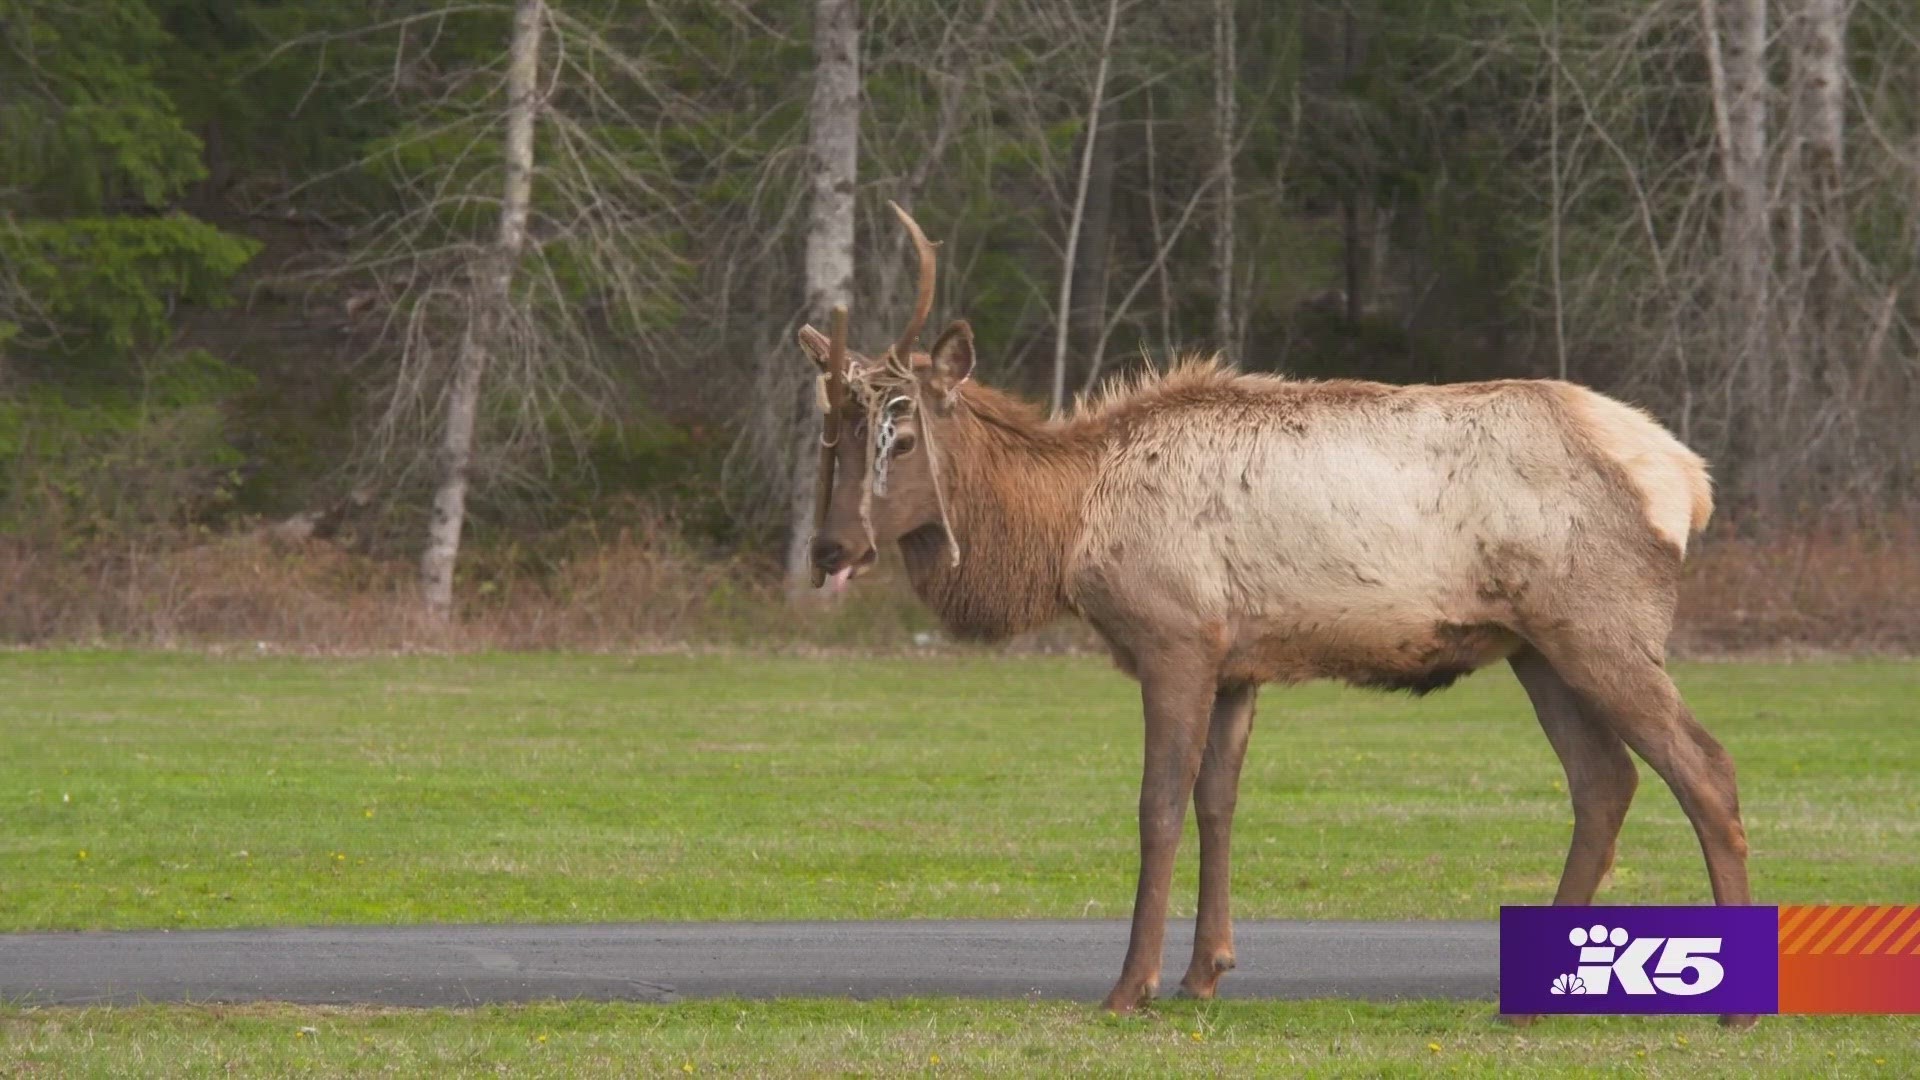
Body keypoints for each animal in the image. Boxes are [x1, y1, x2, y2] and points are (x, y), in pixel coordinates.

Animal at [797, 204, 1752, 1023]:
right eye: (830, 435)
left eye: (902, 435)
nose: (829, 548)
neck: (1068, 529)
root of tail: (1689, 481)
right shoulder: (1237, 663)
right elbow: (1217, 802)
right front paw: (1203, 974)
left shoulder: (1176, 637)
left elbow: (1158, 804)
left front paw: (1130, 988)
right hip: (1534, 648)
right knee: (1604, 782)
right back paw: (1525, 1000)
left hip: (1600, 626)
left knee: (1702, 766)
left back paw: (1734, 1010)